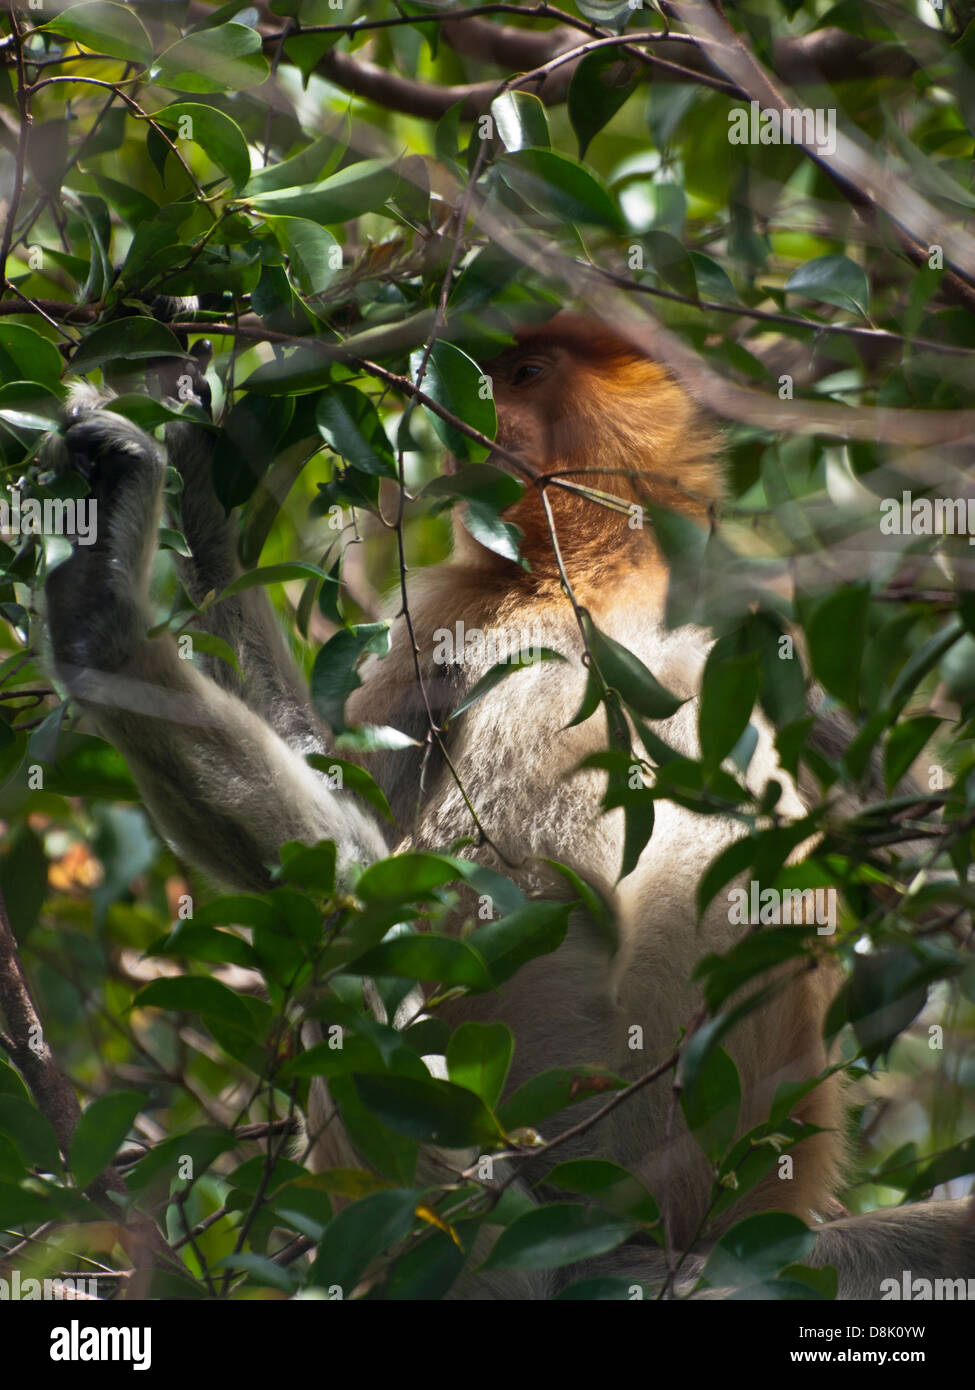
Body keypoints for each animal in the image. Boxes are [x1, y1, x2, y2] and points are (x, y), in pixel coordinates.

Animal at [39, 314, 975, 1300]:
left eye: (525, 375)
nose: (475, 427)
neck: (595, 570)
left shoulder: (749, 596)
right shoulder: (453, 614)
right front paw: (186, 442)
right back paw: (103, 626)